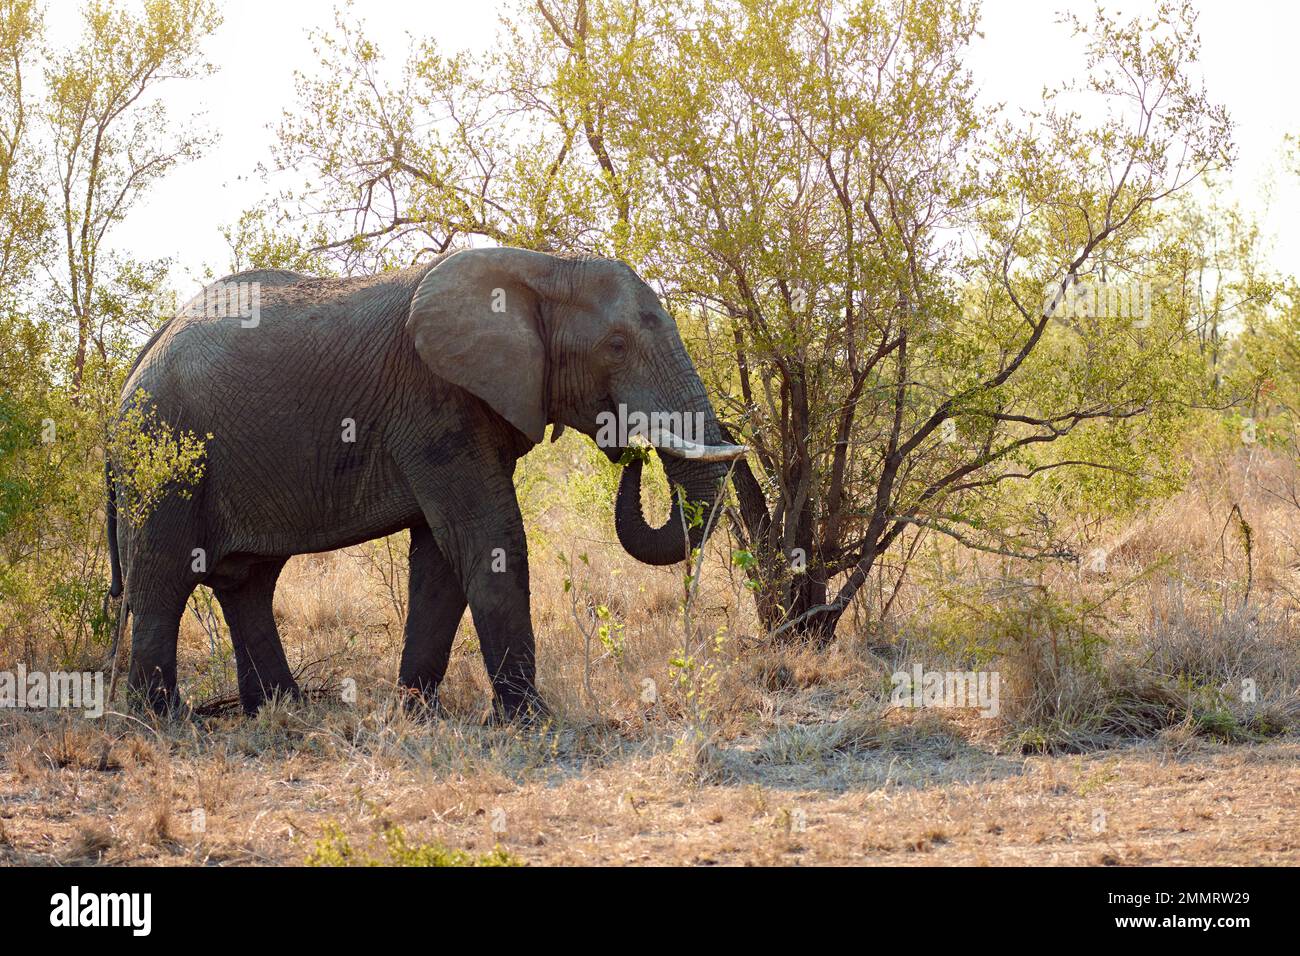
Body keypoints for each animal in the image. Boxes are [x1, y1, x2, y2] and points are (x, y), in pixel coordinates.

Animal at [105, 247, 746, 720]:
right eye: (615, 346)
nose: (631, 449)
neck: (543, 267)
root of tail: (140, 359)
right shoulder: (435, 403)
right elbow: (489, 540)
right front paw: (529, 722)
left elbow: (441, 559)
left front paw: (419, 713)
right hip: (162, 450)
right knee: (163, 576)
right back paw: (165, 721)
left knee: (248, 583)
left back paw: (281, 710)